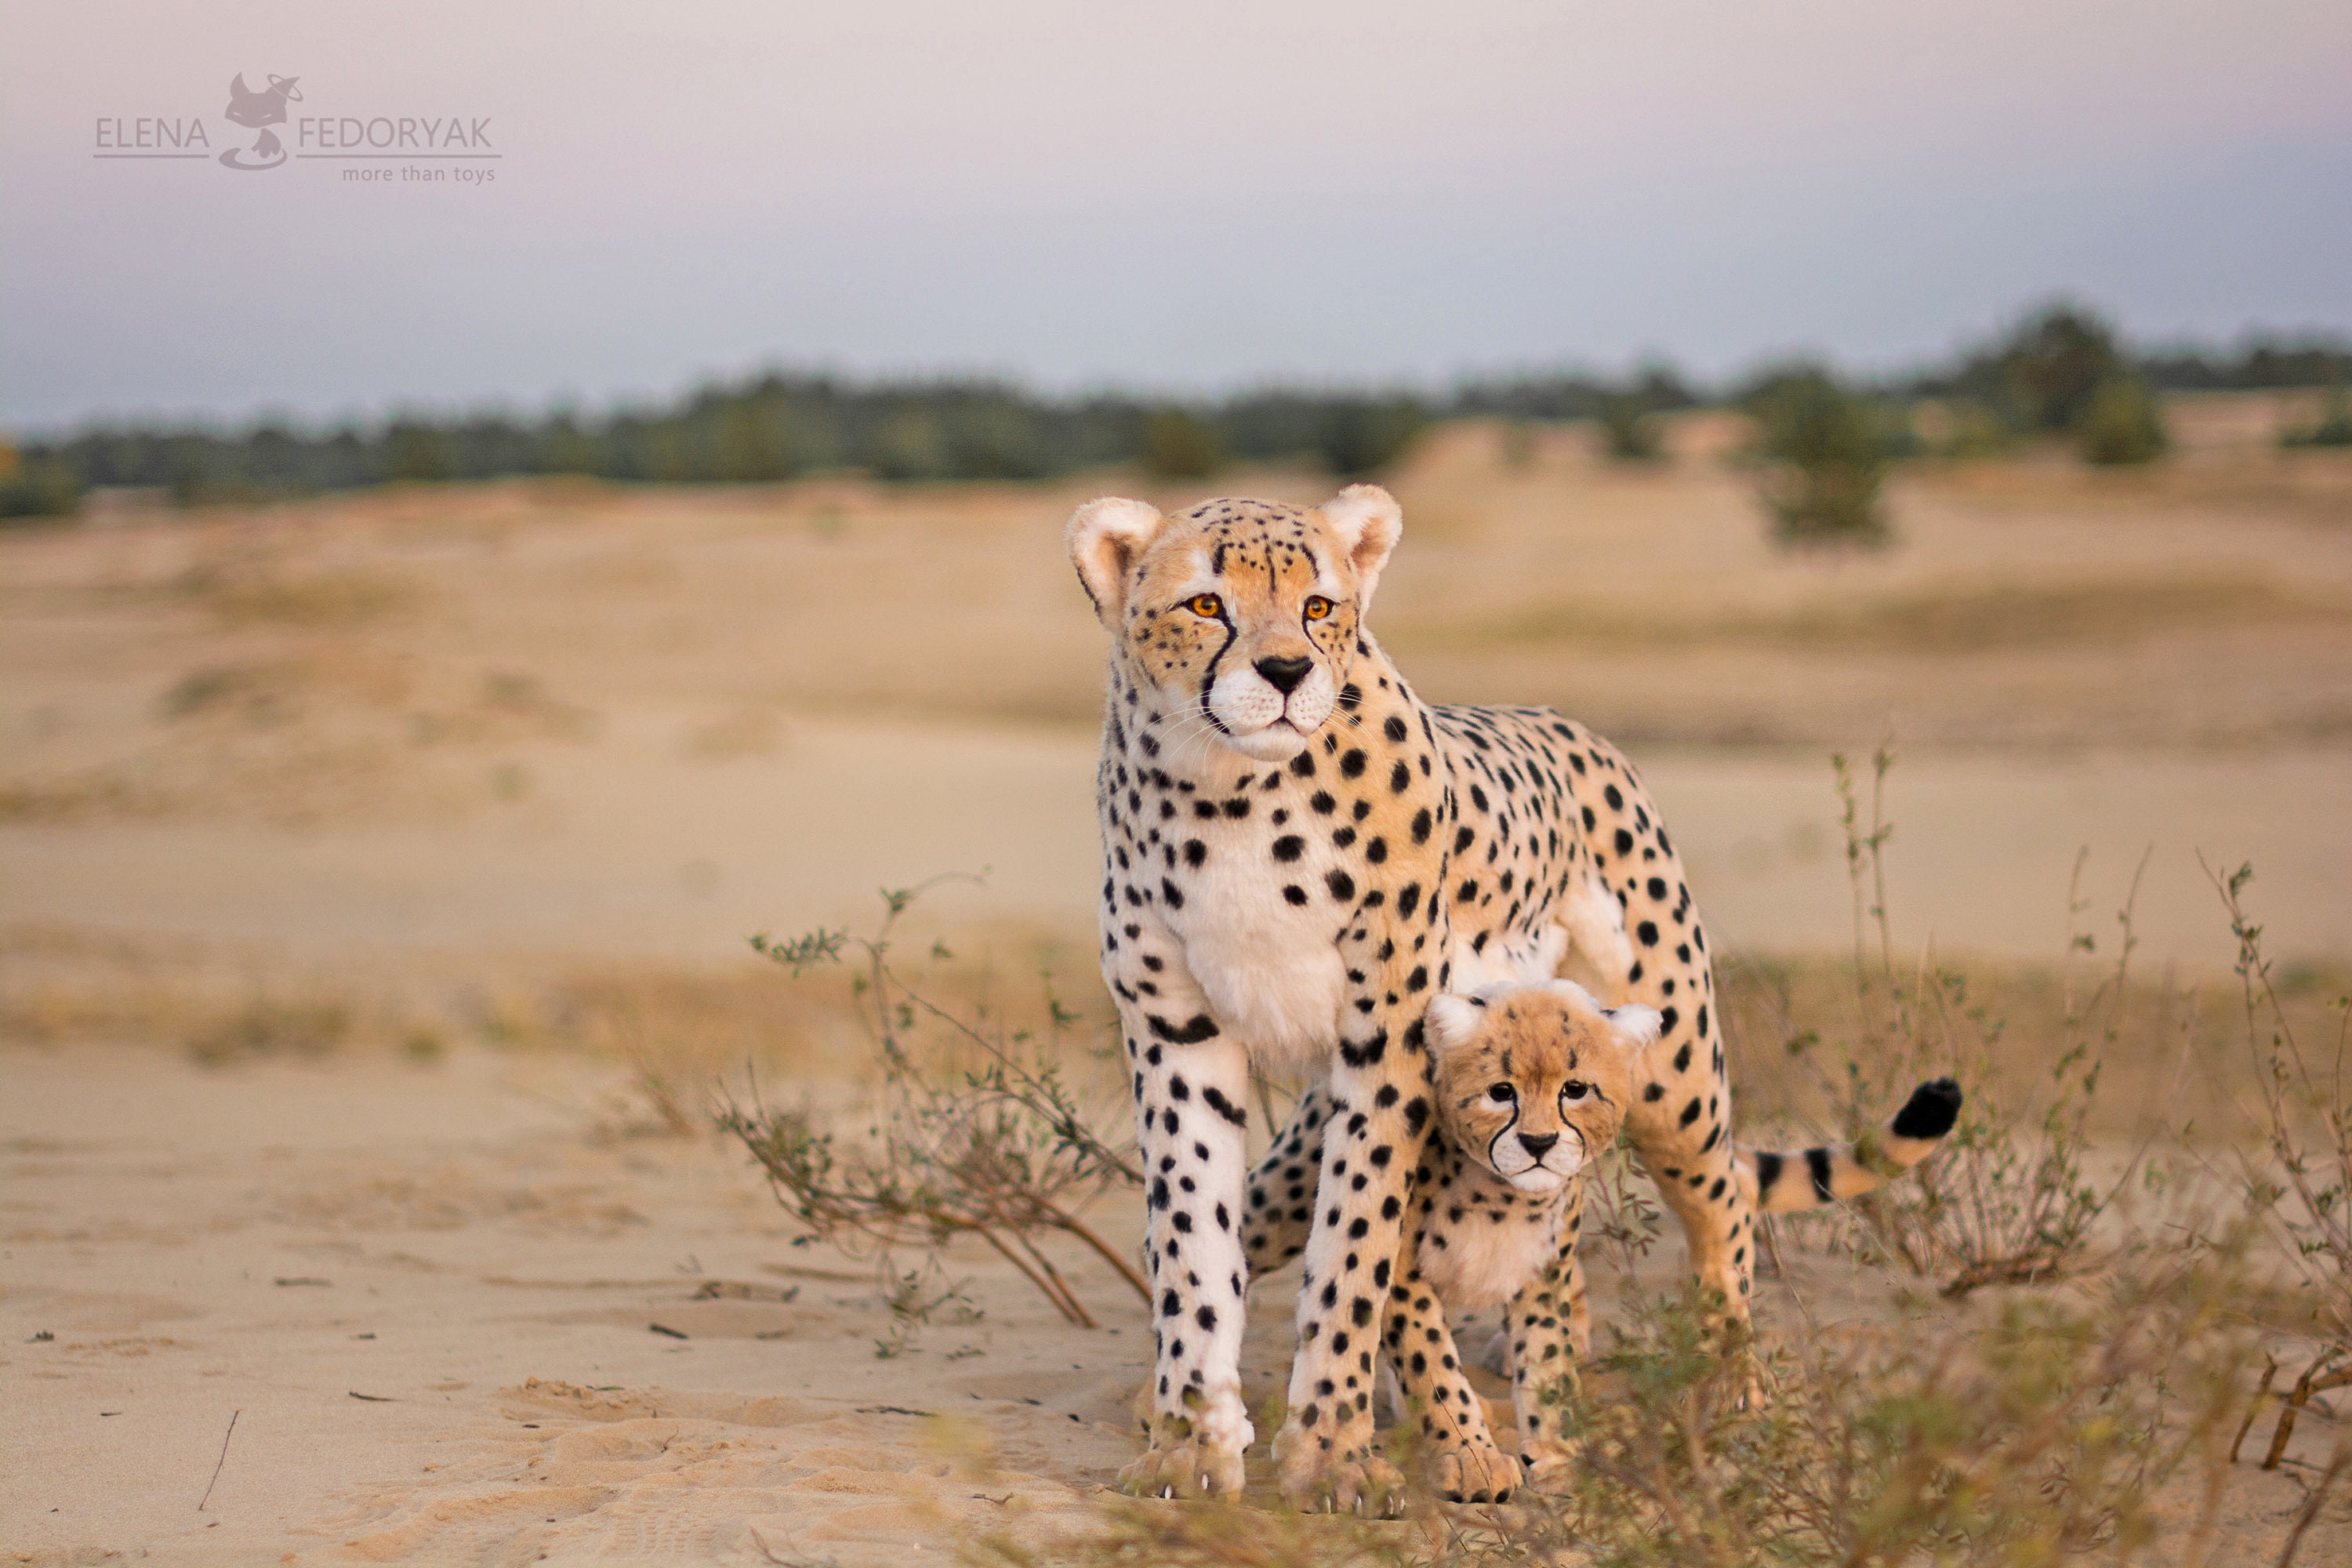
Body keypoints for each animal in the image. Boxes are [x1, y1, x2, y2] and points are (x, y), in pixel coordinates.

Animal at [1069, 483, 1767, 1511]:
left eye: (1320, 605)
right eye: (1206, 604)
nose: (1285, 671)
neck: (1230, 796)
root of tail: (1570, 722)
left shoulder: (1386, 1041)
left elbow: (1355, 1247)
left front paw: (1331, 1456)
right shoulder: (1179, 1037)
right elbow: (1193, 1247)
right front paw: (1191, 1443)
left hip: (1672, 1073)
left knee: (1728, 1201)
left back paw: (1737, 1393)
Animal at [1242, 976, 1965, 1499]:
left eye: (1576, 1089)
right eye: (1500, 1091)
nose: (1538, 1143)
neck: (1498, 1195)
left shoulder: (1544, 1277)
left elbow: (1548, 1362)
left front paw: (1554, 1453)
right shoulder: (1402, 1276)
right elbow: (1432, 1365)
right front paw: (1473, 1456)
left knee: (1728, 1202)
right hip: (1288, 1201)